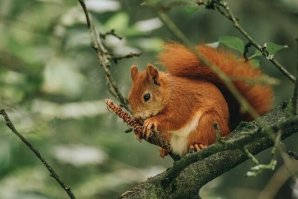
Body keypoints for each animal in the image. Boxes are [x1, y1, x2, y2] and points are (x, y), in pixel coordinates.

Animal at [127, 42, 274, 157]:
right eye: (128, 98)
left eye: (147, 97)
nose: (137, 117)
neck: (168, 92)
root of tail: (228, 129)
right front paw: (137, 129)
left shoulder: (182, 102)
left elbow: (176, 118)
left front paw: (152, 121)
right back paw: (164, 149)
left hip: (208, 122)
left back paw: (198, 145)